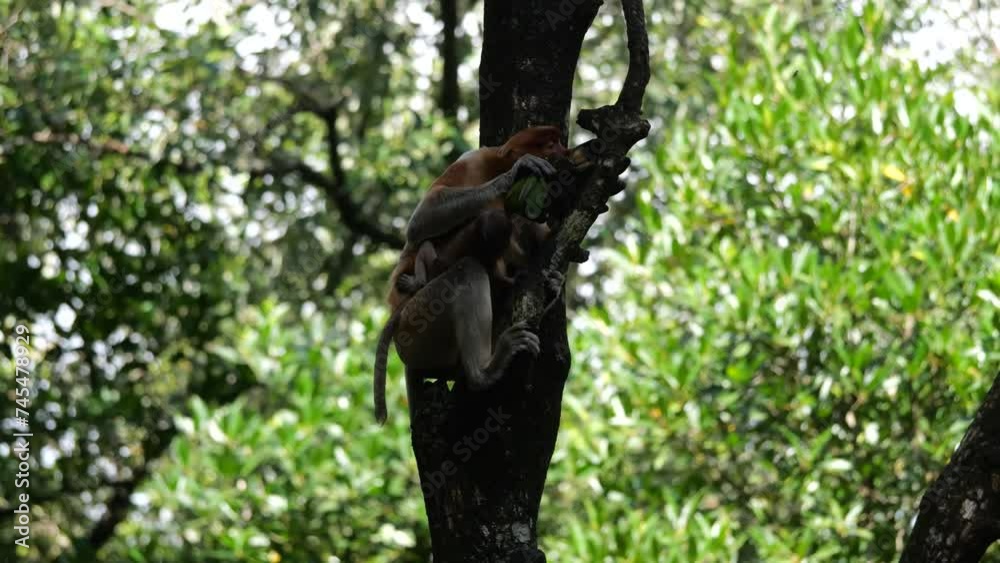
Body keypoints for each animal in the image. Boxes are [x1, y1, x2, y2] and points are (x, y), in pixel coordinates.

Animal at [374, 126, 568, 424]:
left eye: (559, 142)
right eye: (550, 144)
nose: (565, 151)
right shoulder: (471, 160)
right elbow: (421, 220)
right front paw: (518, 172)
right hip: (415, 322)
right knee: (470, 264)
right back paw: (484, 372)